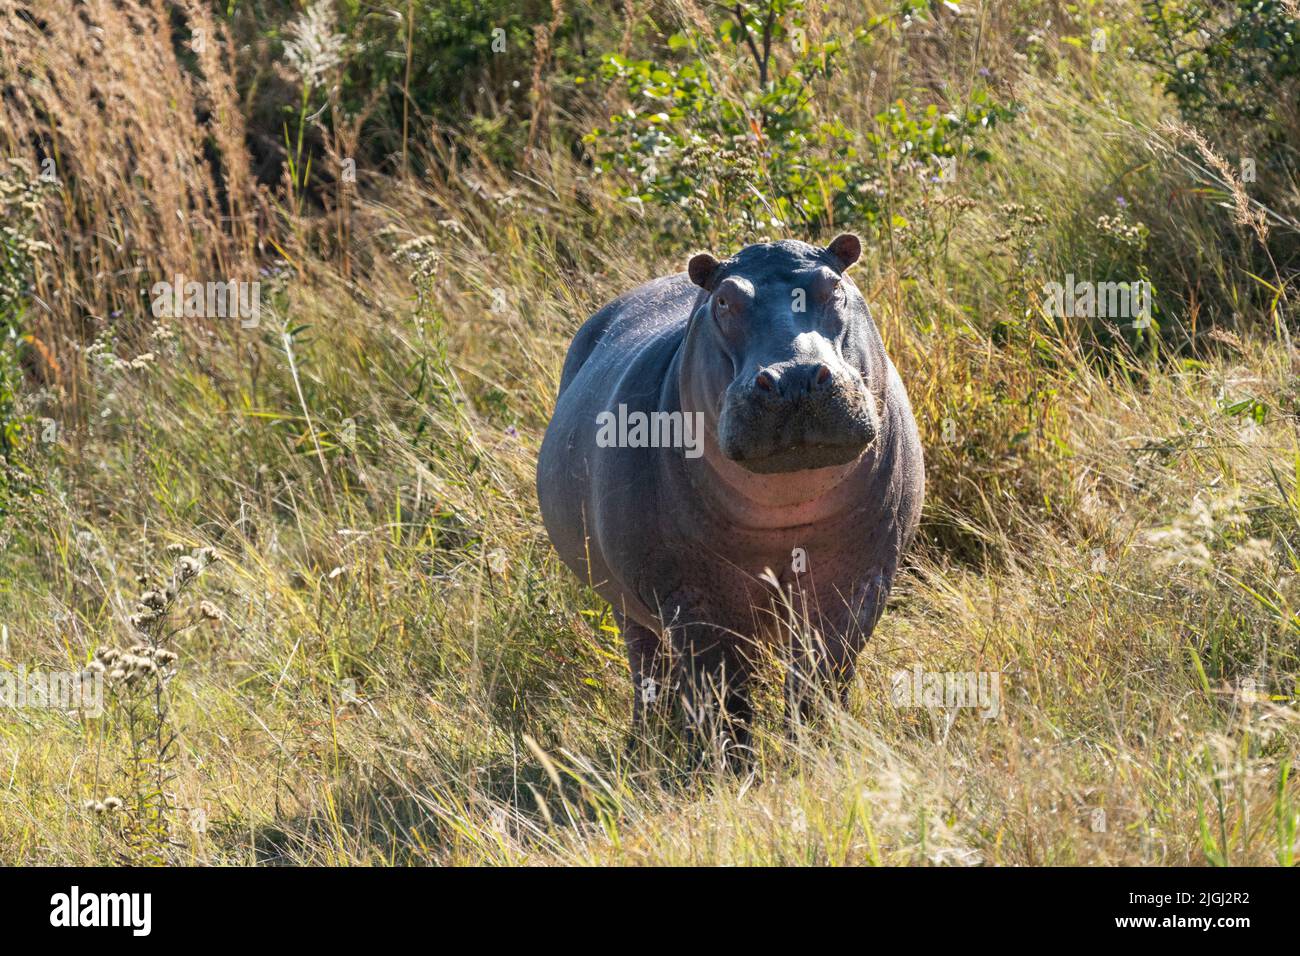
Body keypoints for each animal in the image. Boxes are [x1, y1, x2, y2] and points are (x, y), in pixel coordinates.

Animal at [537, 234, 924, 757]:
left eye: (834, 285)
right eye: (723, 300)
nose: (793, 377)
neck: (784, 503)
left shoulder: (860, 577)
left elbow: (822, 673)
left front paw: (814, 750)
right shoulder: (691, 595)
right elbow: (720, 688)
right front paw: (730, 763)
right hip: (627, 601)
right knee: (649, 668)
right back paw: (645, 744)